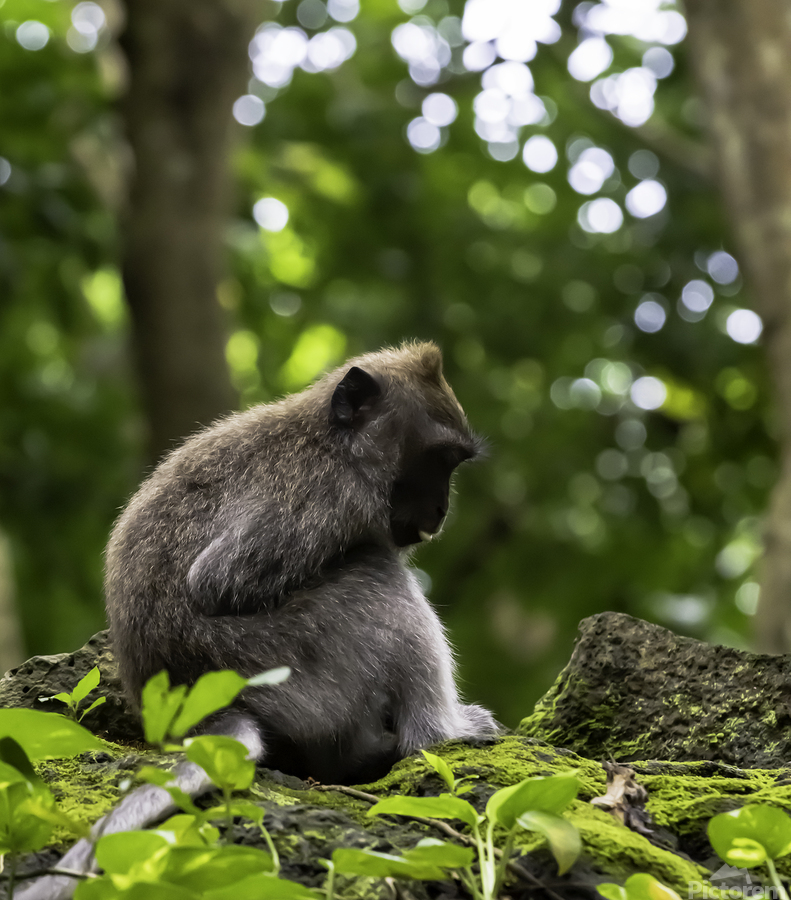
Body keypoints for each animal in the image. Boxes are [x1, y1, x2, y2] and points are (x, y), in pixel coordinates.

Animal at [16, 342, 498, 900]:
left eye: (453, 464)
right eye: (438, 459)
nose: (442, 510)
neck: (332, 442)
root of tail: (204, 710)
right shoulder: (322, 497)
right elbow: (217, 582)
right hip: (296, 674)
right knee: (374, 575)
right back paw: (439, 733)